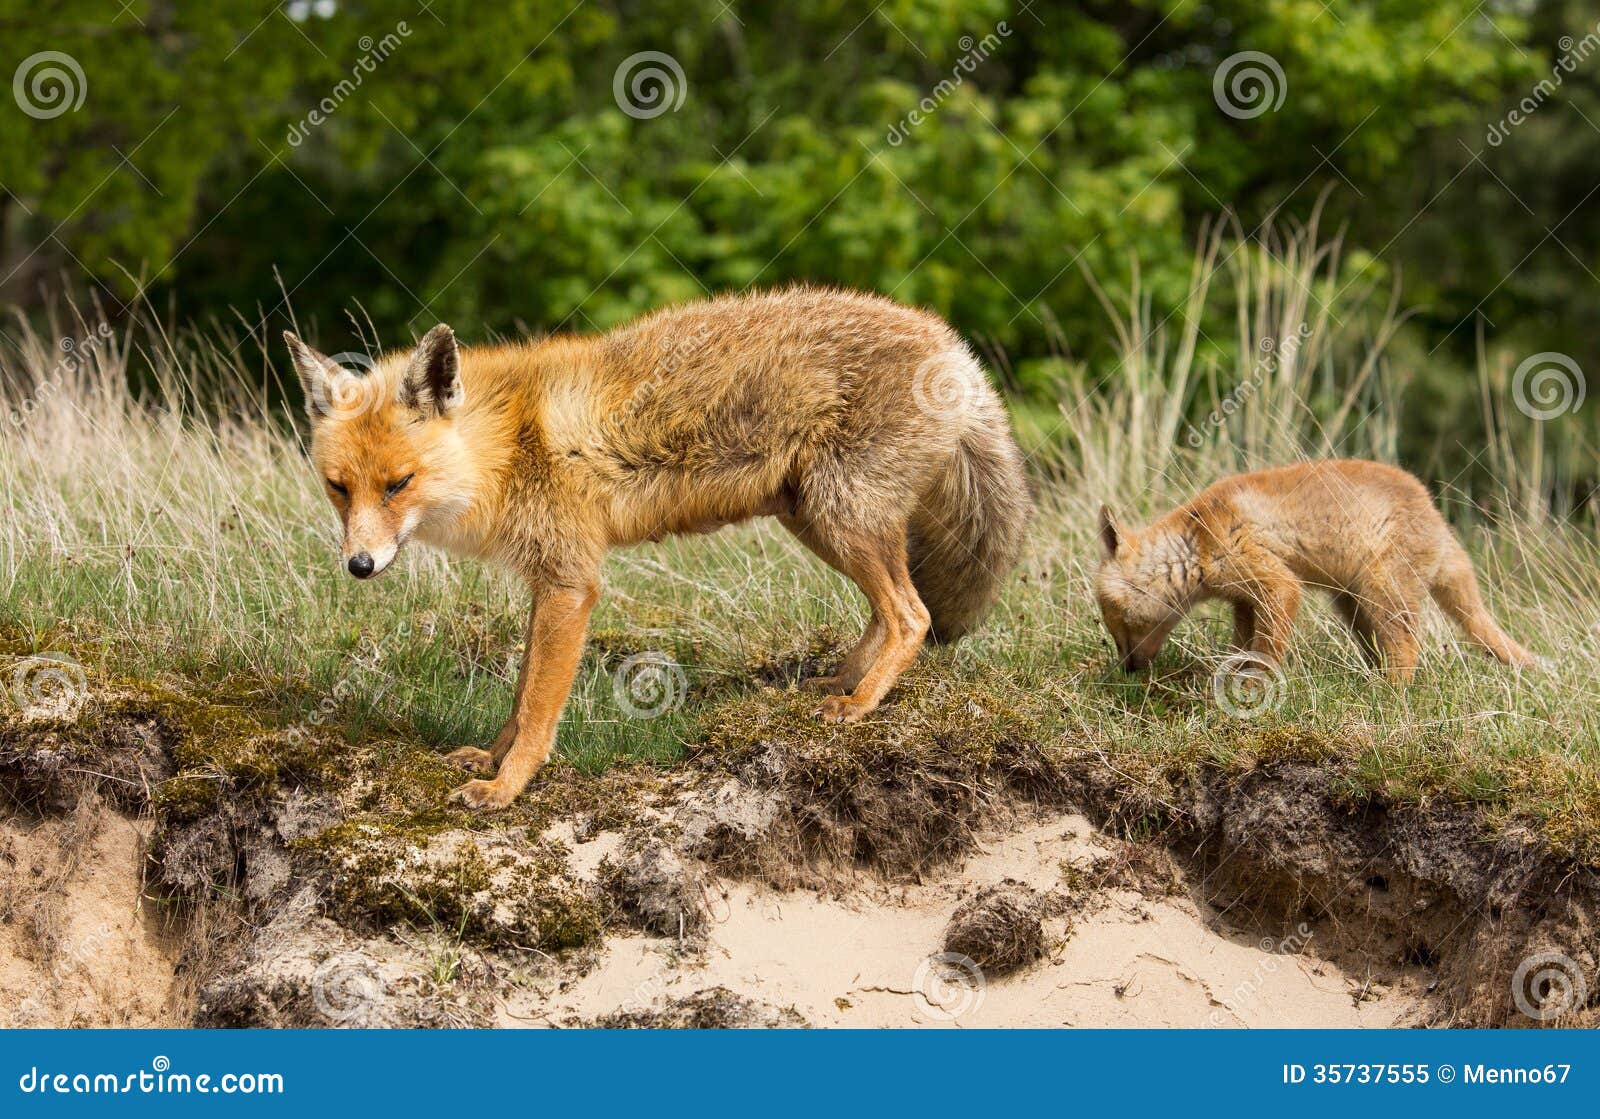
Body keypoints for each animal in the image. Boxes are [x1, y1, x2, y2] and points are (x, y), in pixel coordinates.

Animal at [284, 287, 1032, 809]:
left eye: (398, 483)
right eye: (338, 487)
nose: (359, 566)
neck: (511, 445)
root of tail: (953, 347)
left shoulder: (571, 583)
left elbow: (538, 710)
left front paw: (506, 789)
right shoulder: (546, 584)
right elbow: (520, 699)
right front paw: (489, 762)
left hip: (841, 514)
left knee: (914, 615)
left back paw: (860, 704)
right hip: (816, 518)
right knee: (886, 610)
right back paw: (841, 681)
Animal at [1094, 459, 1534, 682]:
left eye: (1115, 621)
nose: (1127, 672)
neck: (1195, 541)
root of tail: (1438, 519)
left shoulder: (1279, 585)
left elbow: (1265, 655)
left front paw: (1254, 691)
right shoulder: (1245, 601)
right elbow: (1242, 648)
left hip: (1382, 592)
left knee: (1408, 650)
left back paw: (1390, 699)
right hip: (1354, 607)